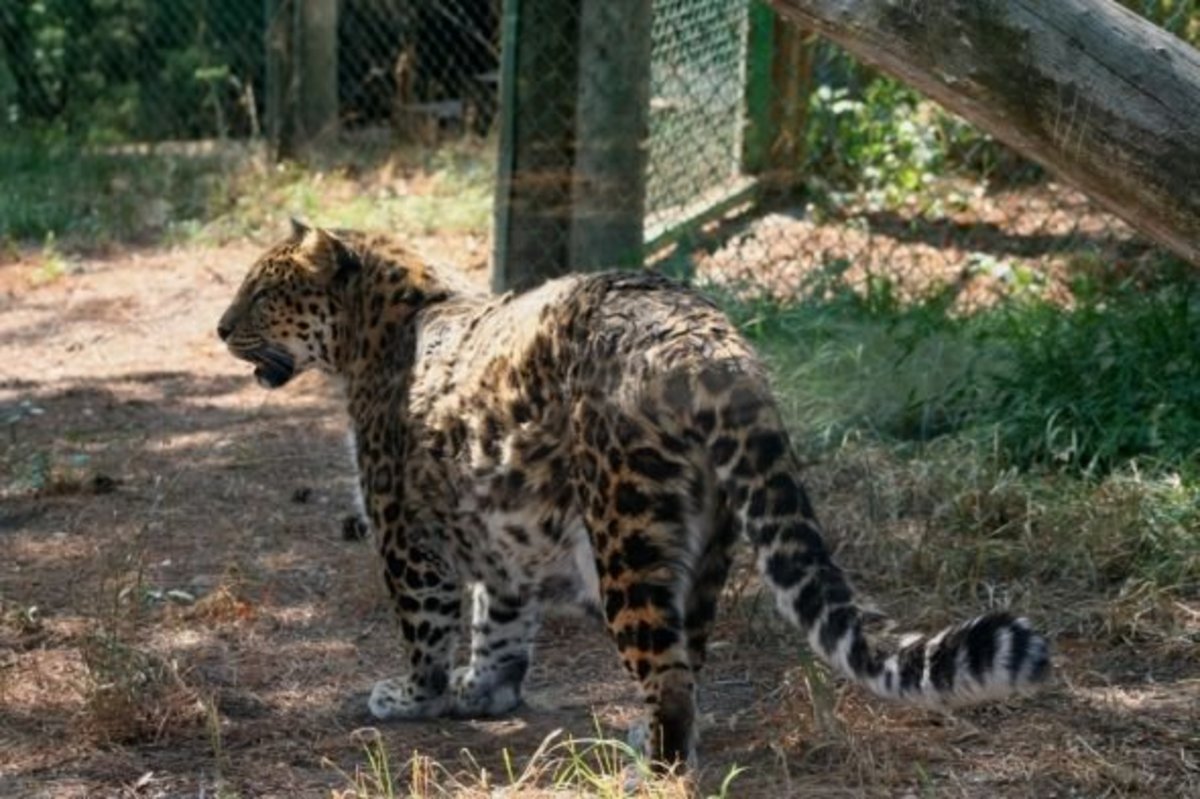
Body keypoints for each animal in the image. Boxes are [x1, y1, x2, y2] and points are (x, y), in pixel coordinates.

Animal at [217, 221, 1050, 771]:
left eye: (262, 292)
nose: (221, 328)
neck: (378, 327)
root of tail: (713, 344)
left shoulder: (403, 530)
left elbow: (429, 622)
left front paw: (415, 696)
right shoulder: (499, 527)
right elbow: (500, 618)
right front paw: (485, 691)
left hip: (626, 527)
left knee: (669, 670)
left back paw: (650, 764)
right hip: (707, 537)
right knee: (690, 652)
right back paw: (649, 737)